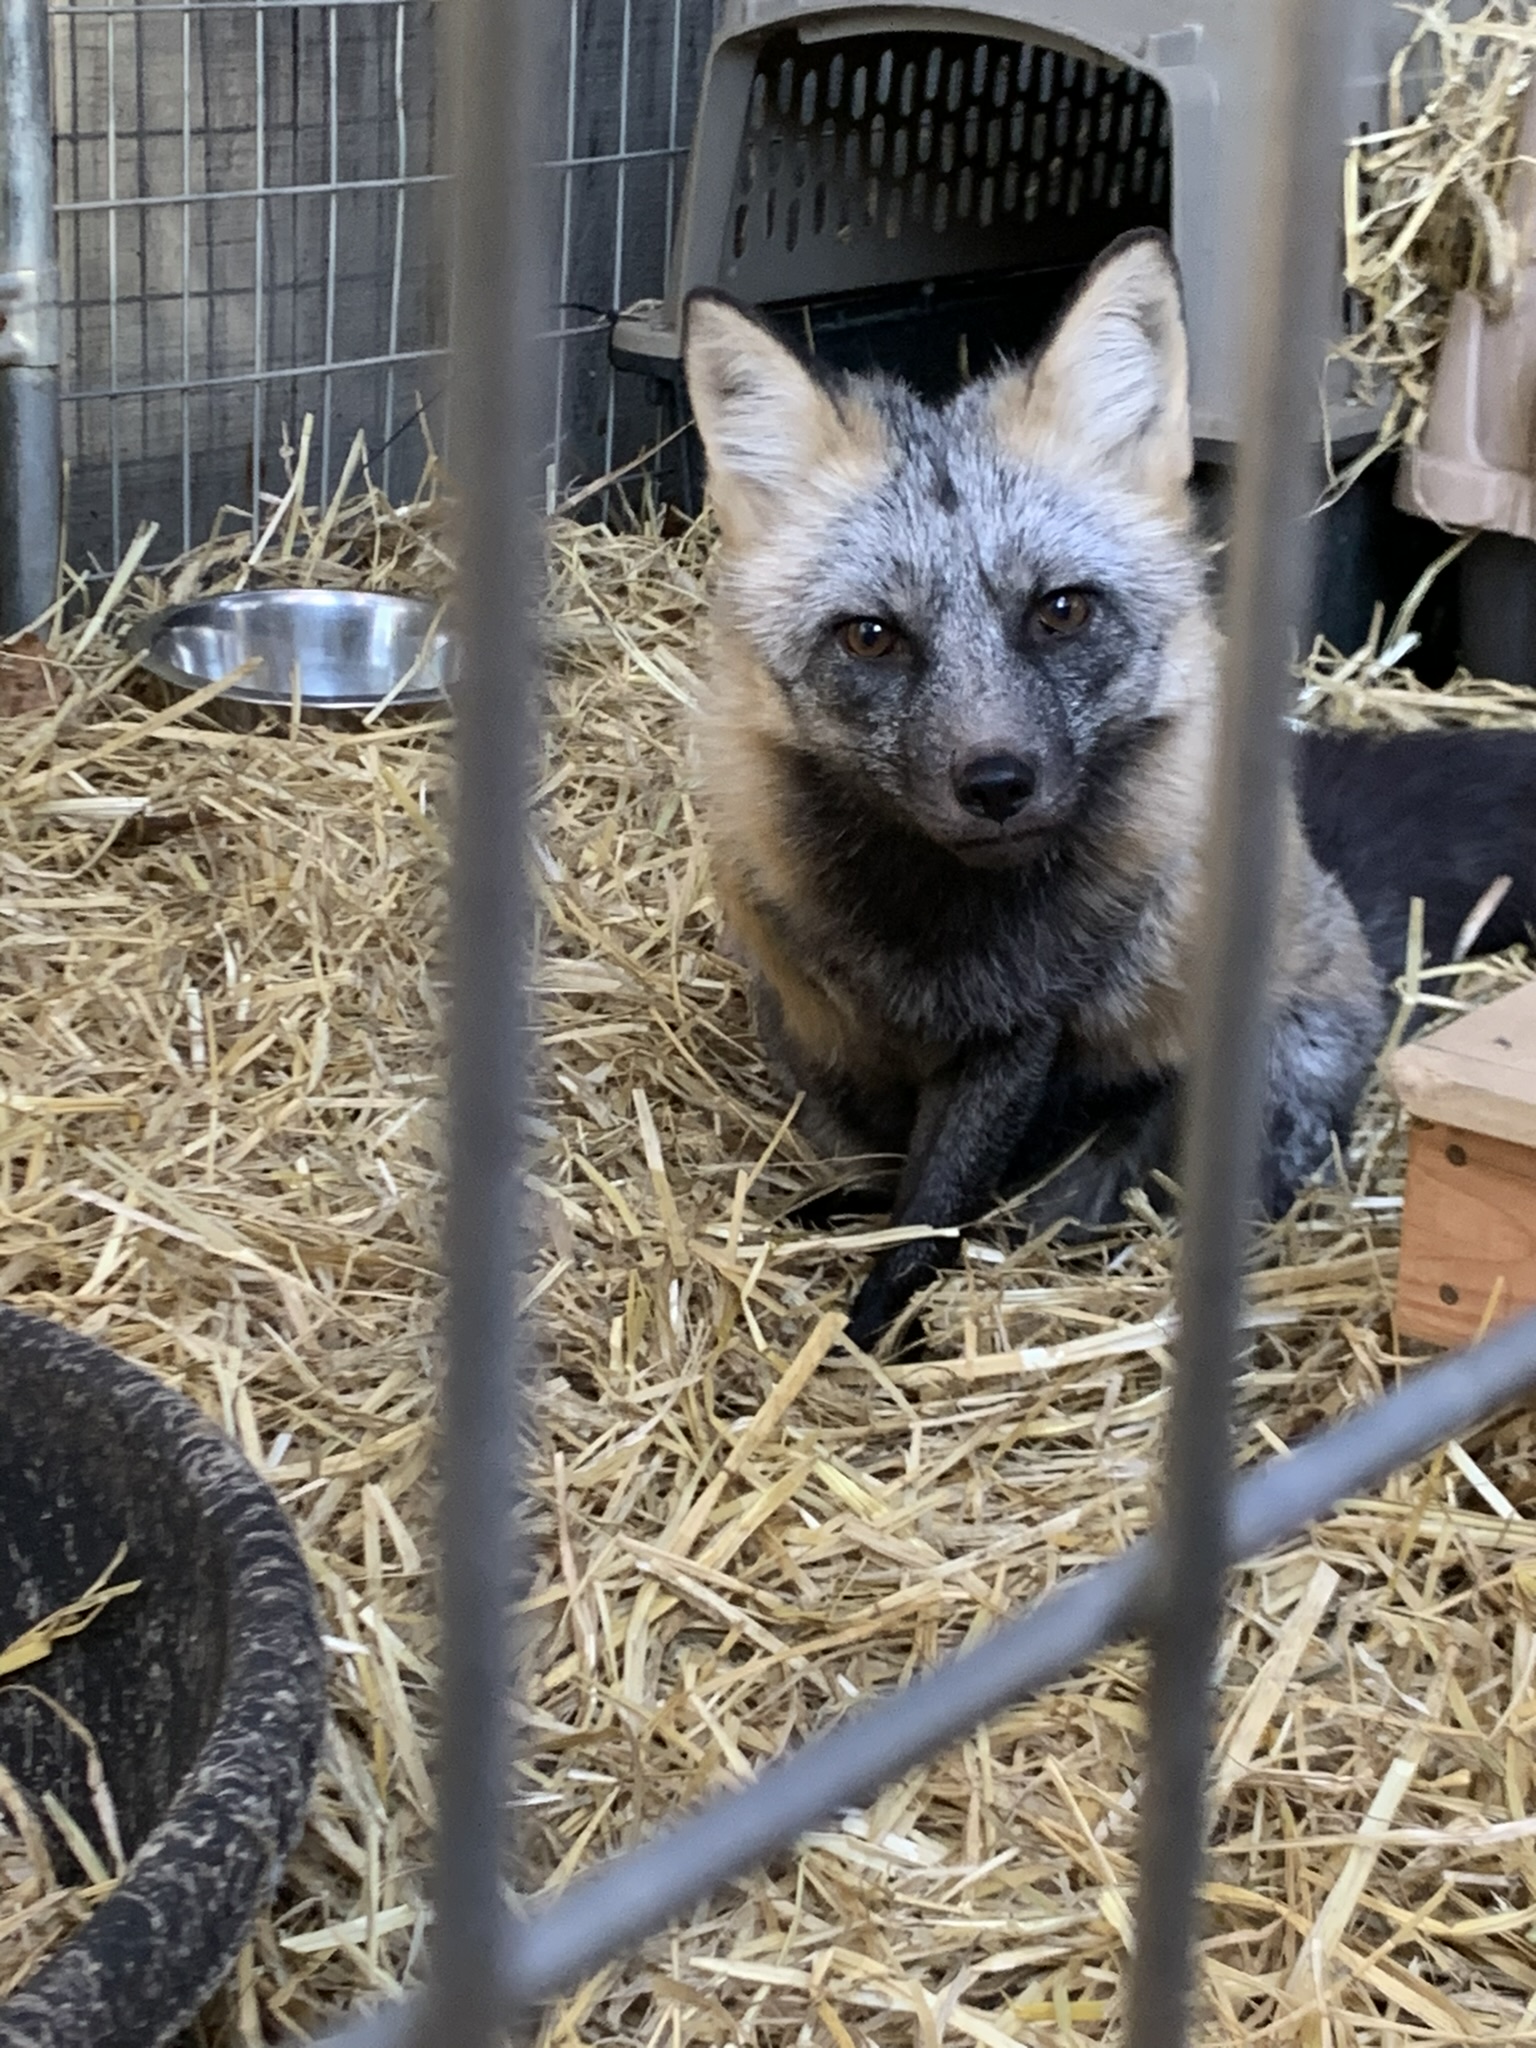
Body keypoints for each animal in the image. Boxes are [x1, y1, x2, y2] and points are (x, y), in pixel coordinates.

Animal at [679, 230, 1536, 1350]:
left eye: (1060, 612)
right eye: (872, 636)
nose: (997, 782)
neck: (925, 935)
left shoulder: (1016, 1040)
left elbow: (929, 1214)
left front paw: (872, 1338)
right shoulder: (808, 1011)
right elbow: (877, 1173)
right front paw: (849, 1247)